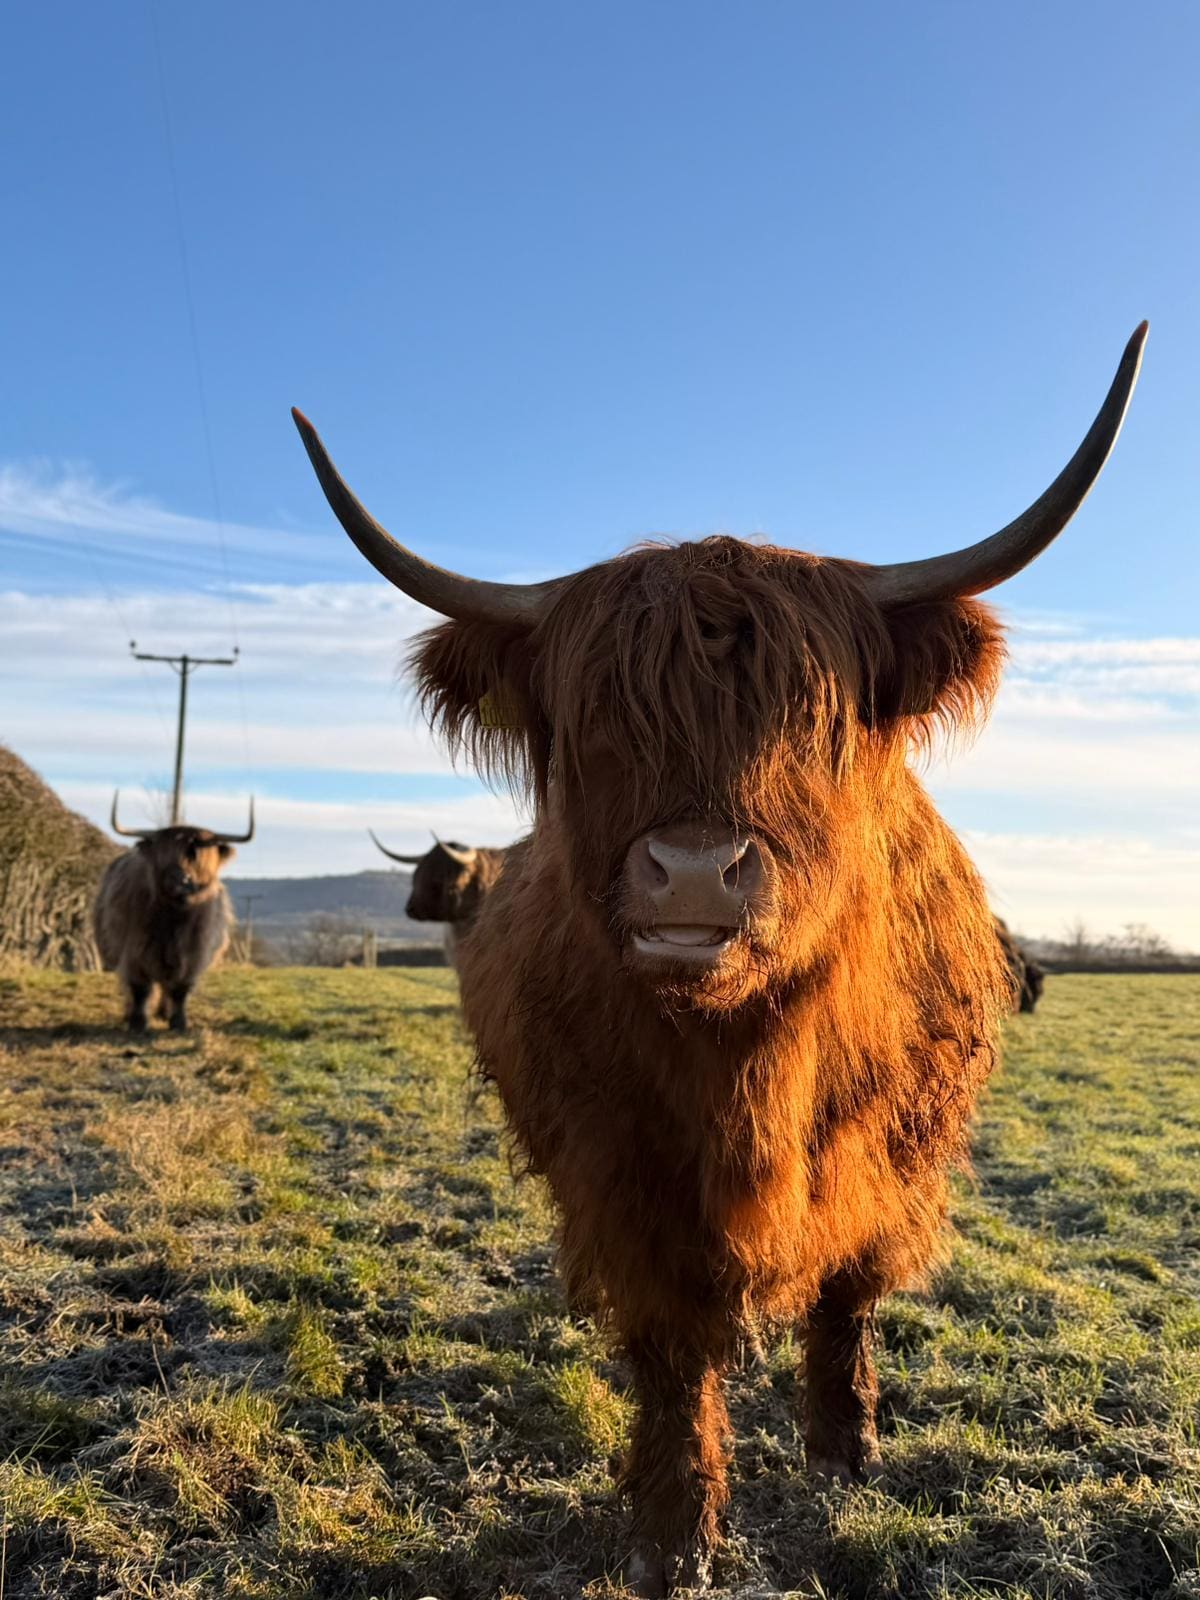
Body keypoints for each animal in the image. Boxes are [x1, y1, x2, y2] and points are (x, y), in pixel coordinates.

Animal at [94, 793, 254, 1032]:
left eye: (196, 853)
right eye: (162, 852)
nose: (178, 881)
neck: (174, 919)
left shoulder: (194, 954)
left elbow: (179, 990)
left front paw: (178, 1021)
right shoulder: (134, 950)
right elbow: (140, 988)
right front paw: (138, 1023)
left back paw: (163, 1012)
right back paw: (130, 1013)